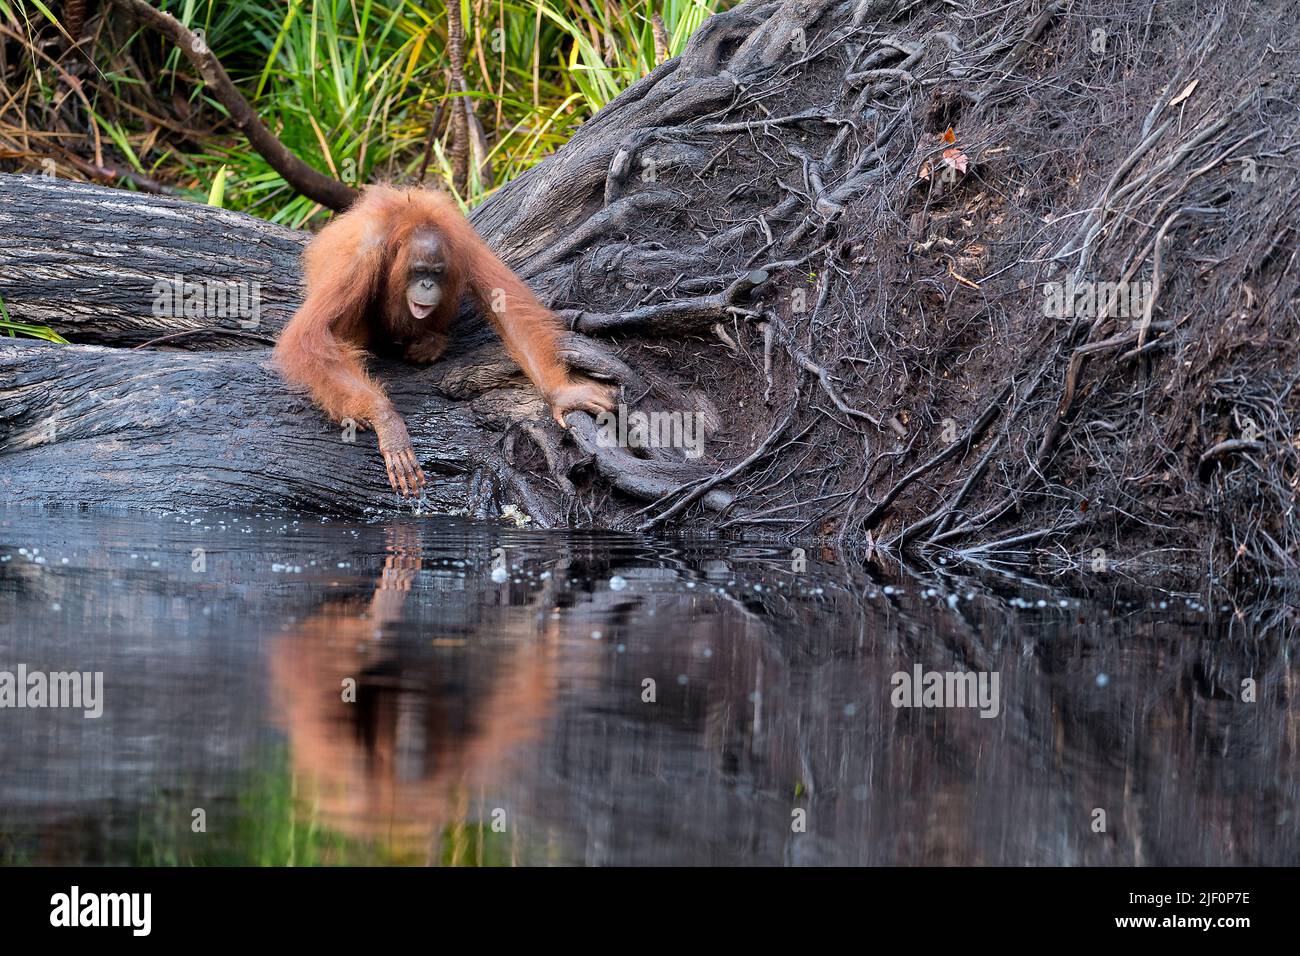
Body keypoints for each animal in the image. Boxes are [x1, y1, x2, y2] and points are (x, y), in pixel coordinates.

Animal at [274, 185, 616, 496]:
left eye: (436, 272)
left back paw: (429, 342)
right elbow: (311, 334)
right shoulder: (361, 254)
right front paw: (389, 423)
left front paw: (563, 395)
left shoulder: (463, 244)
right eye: (419, 271)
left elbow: (507, 308)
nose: (427, 285)